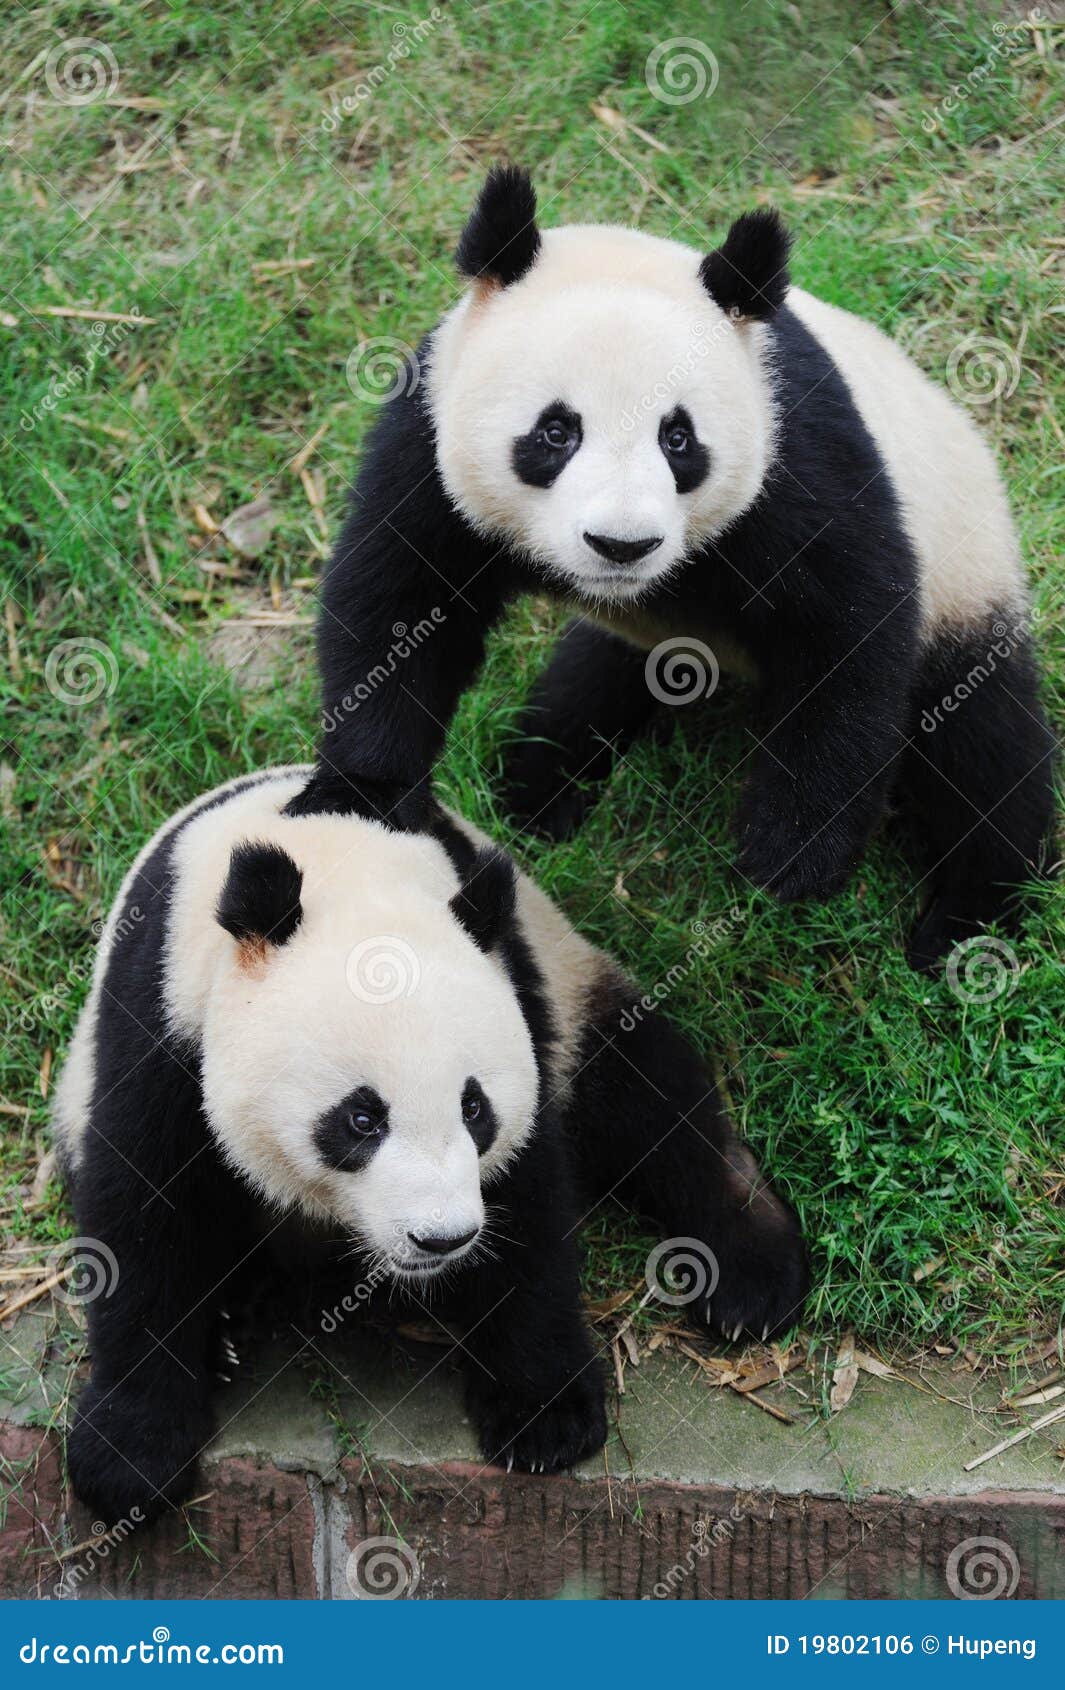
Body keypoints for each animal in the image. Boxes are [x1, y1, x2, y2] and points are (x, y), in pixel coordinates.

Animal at [53, 766, 808, 1525]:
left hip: (565, 978)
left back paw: (750, 1277)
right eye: (361, 1120)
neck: (345, 869)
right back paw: (230, 1328)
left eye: (473, 1108)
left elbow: (529, 1206)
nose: (440, 1239)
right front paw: (130, 1459)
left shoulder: (521, 1008)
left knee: (646, 1097)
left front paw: (544, 1415)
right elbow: (143, 1222)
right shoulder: (164, 1024)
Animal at [289, 165, 1055, 972]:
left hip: (965, 571)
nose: (621, 546)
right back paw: (537, 786)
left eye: (678, 439)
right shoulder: (429, 432)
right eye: (556, 432)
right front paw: (366, 796)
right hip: (641, 641)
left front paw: (787, 860)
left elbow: (845, 638)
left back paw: (971, 917)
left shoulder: (798, 451)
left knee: (982, 744)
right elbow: (403, 602)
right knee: (586, 683)